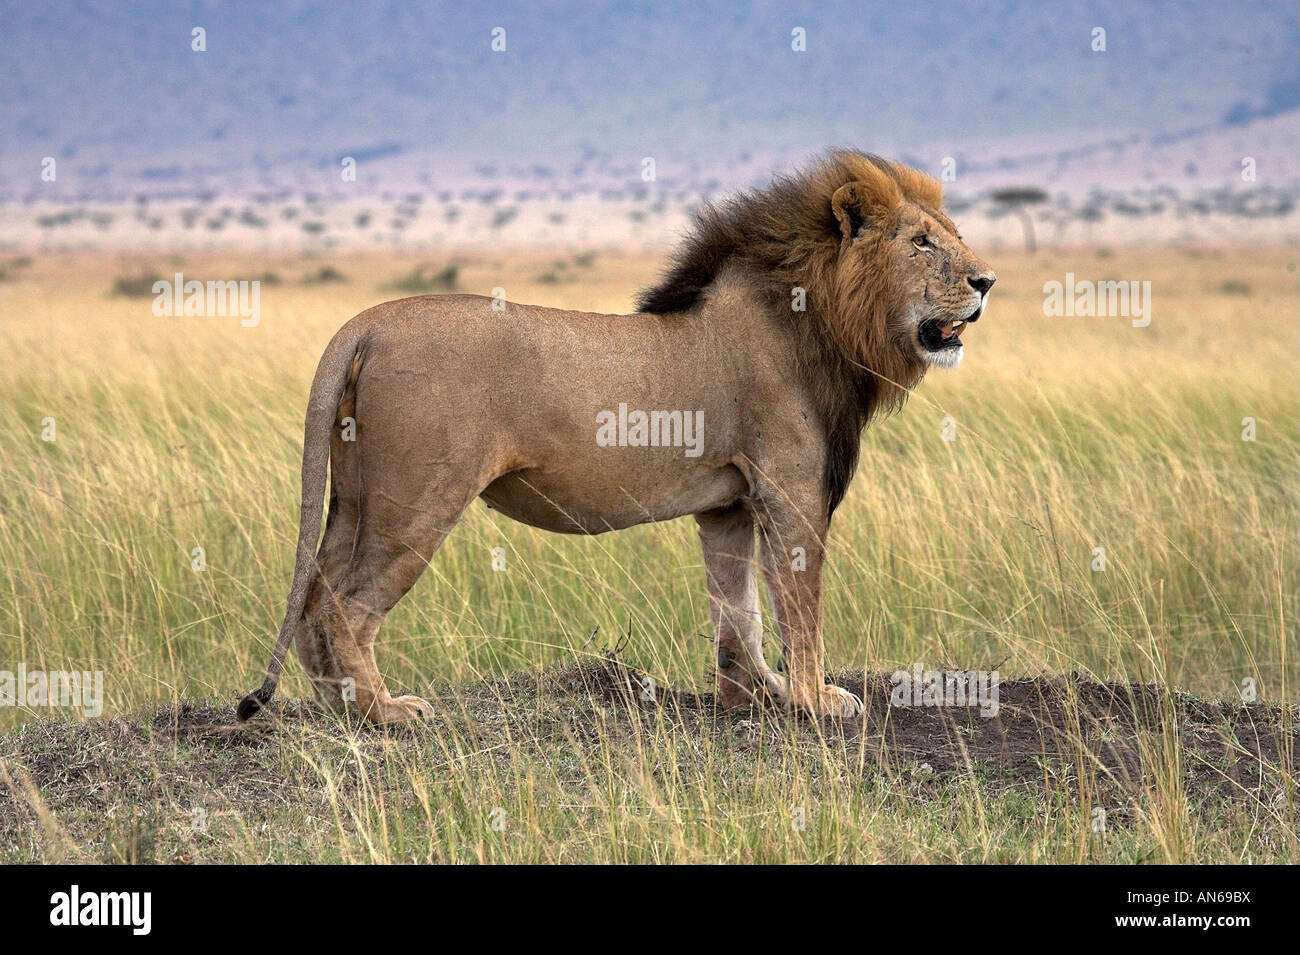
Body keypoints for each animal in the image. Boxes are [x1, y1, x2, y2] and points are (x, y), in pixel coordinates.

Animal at [238, 149, 995, 723]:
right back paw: (383, 711)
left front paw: (754, 693)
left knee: (315, 595)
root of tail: (362, 323)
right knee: (346, 605)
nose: (986, 280)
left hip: (355, 497)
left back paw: (336, 705)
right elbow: (797, 605)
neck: (822, 319)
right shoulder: (791, 489)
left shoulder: (728, 502)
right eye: (921, 242)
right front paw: (814, 698)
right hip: (416, 500)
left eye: (950, 233)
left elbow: (739, 610)